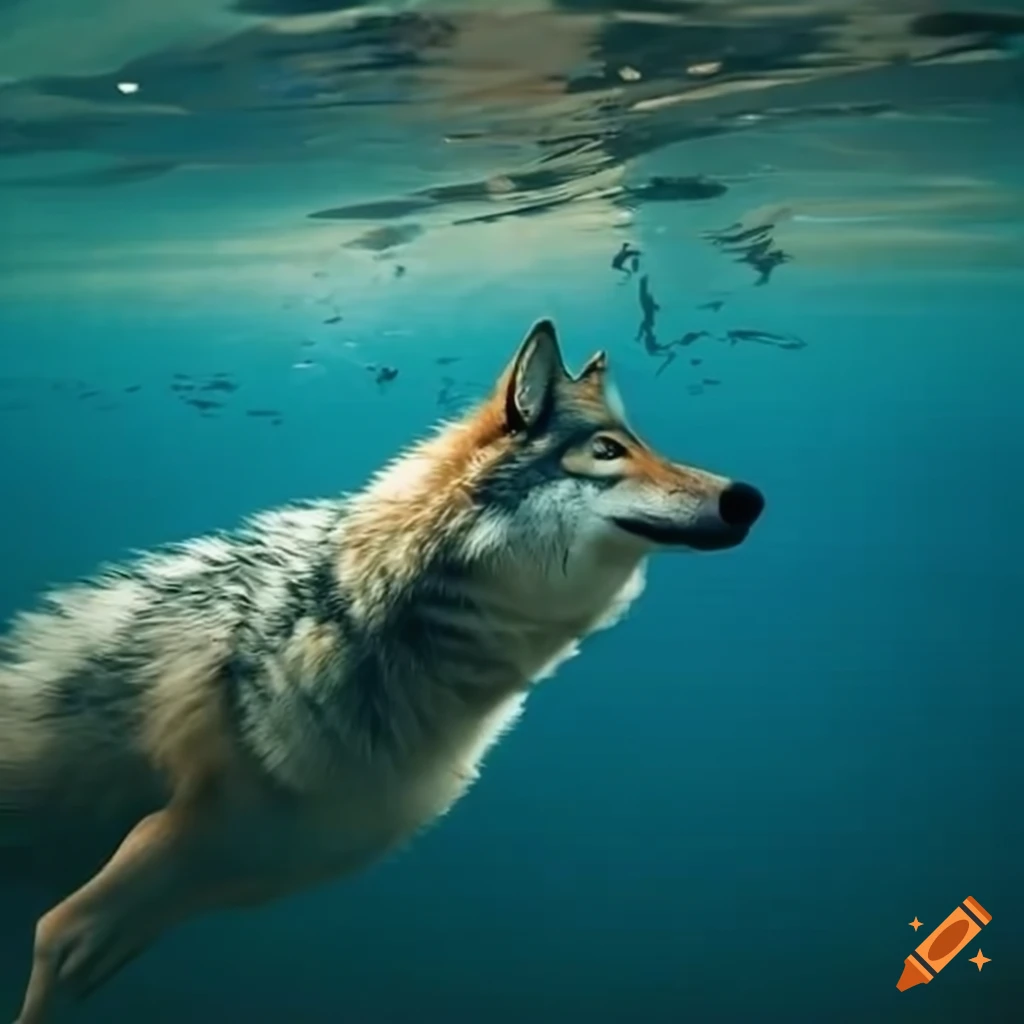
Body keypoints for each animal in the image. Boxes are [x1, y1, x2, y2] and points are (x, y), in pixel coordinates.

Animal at [0, 319, 764, 1023]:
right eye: (607, 451)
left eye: (644, 443)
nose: (749, 498)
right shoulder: (159, 853)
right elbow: (54, 944)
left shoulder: (196, 880)